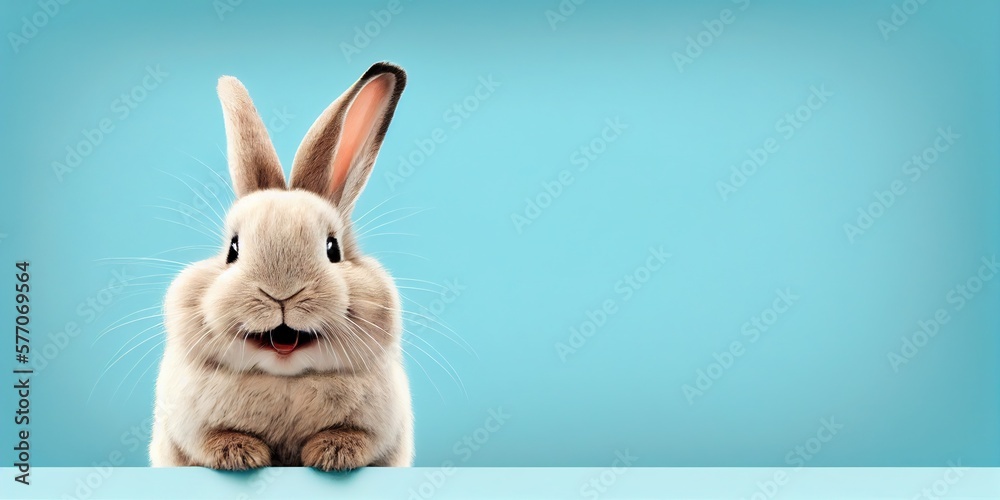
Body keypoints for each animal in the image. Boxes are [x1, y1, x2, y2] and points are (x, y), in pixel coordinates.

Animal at [149, 62, 413, 471]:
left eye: (333, 249)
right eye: (233, 249)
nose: (281, 293)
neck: (286, 376)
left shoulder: (382, 430)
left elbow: (356, 438)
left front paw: (330, 453)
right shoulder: (187, 427)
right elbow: (212, 440)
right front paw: (243, 454)